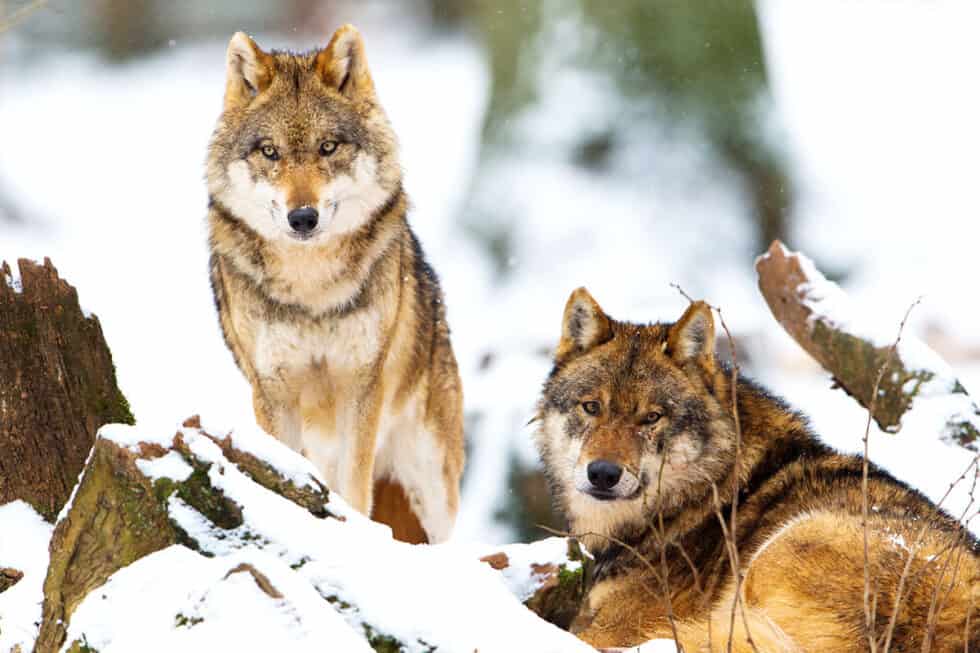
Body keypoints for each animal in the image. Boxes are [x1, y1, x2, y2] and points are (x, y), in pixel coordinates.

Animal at [205, 25, 464, 544]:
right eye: (270, 152)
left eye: (328, 147)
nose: (302, 217)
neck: (312, 288)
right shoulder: (273, 392)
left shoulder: (361, 389)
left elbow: (355, 490)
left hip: (430, 476)